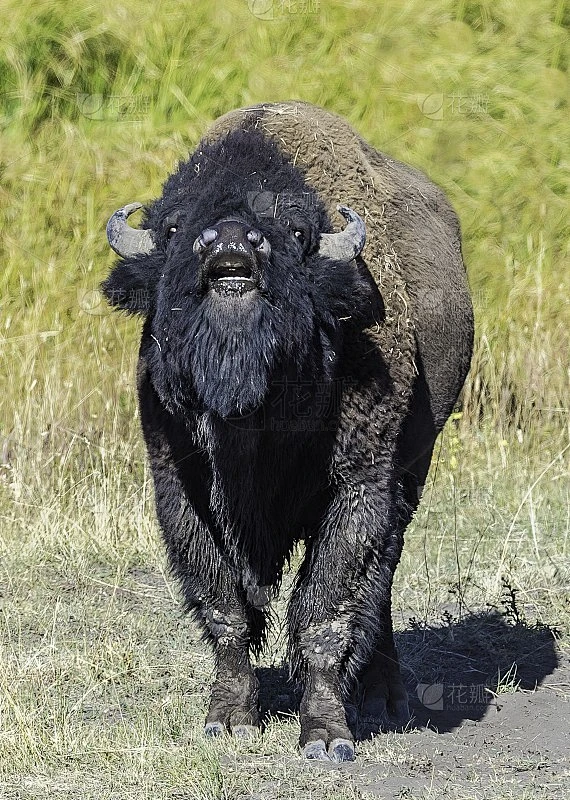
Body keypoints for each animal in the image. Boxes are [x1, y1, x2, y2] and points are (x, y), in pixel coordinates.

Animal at [102, 102, 473, 761]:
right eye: (173, 228)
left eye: (294, 233)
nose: (229, 243)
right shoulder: (178, 486)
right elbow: (224, 605)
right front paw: (228, 719)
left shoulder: (360, 486)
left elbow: (327, 608)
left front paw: (326, 736)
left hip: (410, 476)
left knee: (380, 584)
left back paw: (382, 697)